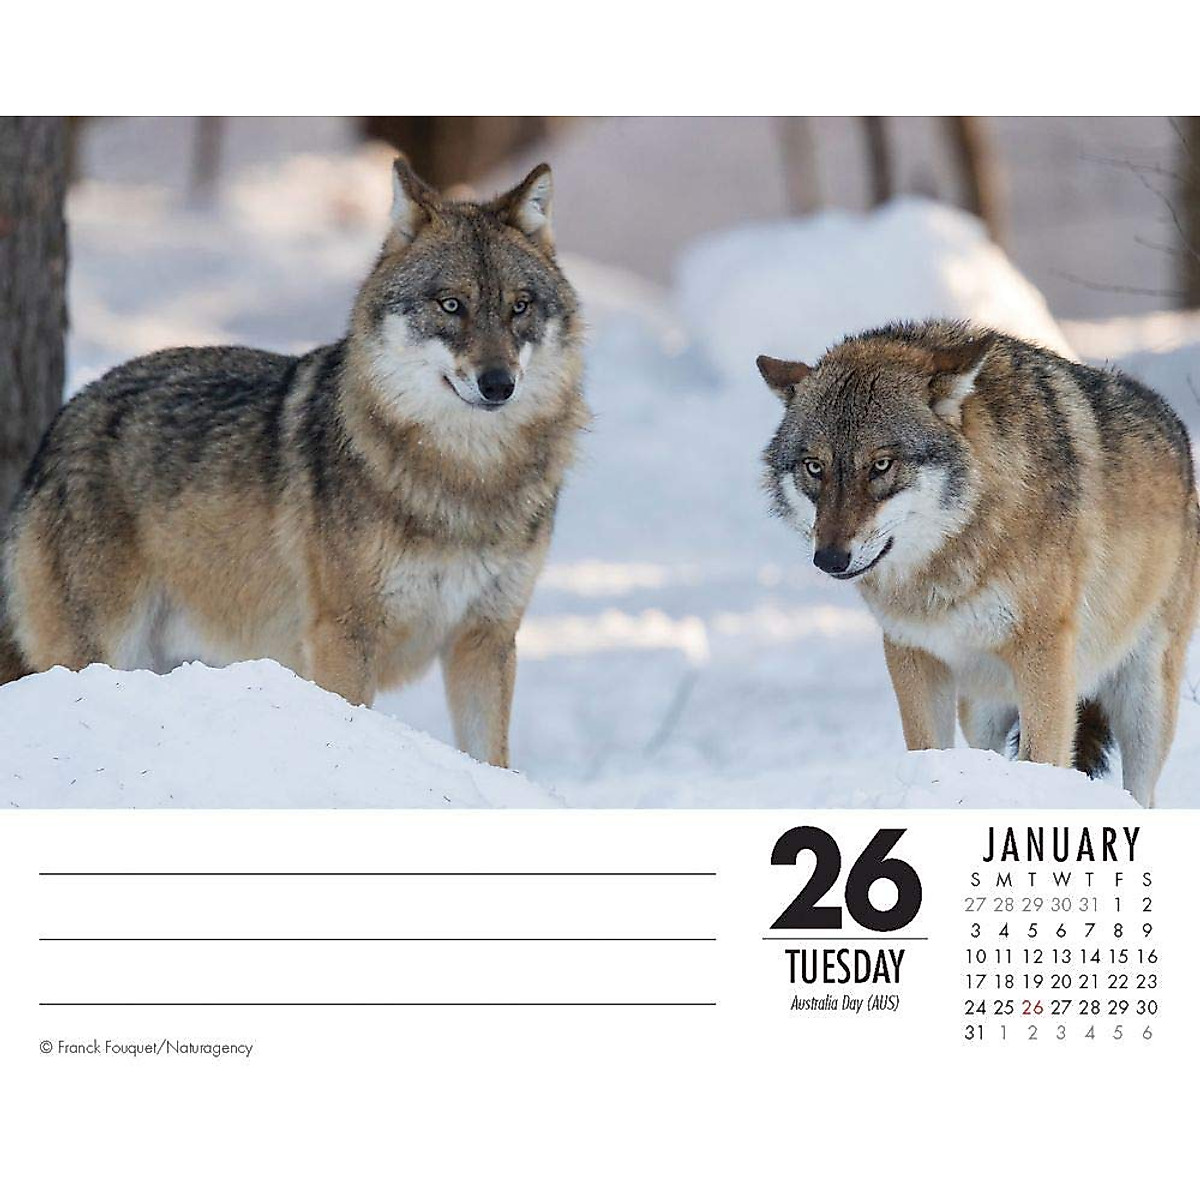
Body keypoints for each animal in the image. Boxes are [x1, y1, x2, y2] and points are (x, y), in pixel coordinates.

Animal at [0, 156, 589, 768]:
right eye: (452, 304)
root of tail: (57, 429)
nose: (499, 385)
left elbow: (492, 757)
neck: (466, 476)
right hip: (101, 653)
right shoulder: (344, 636)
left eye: (519, 306)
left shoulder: (486, 639)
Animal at [759, 320, 1200, 806]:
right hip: (983, 702)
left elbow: (1041, 756)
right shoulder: (910, 650)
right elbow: (926, 747)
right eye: (814, 467)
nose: (830, 559)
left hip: (1144, 699)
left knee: (1142, 789)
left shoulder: (1044, 654)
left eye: (881, 464)